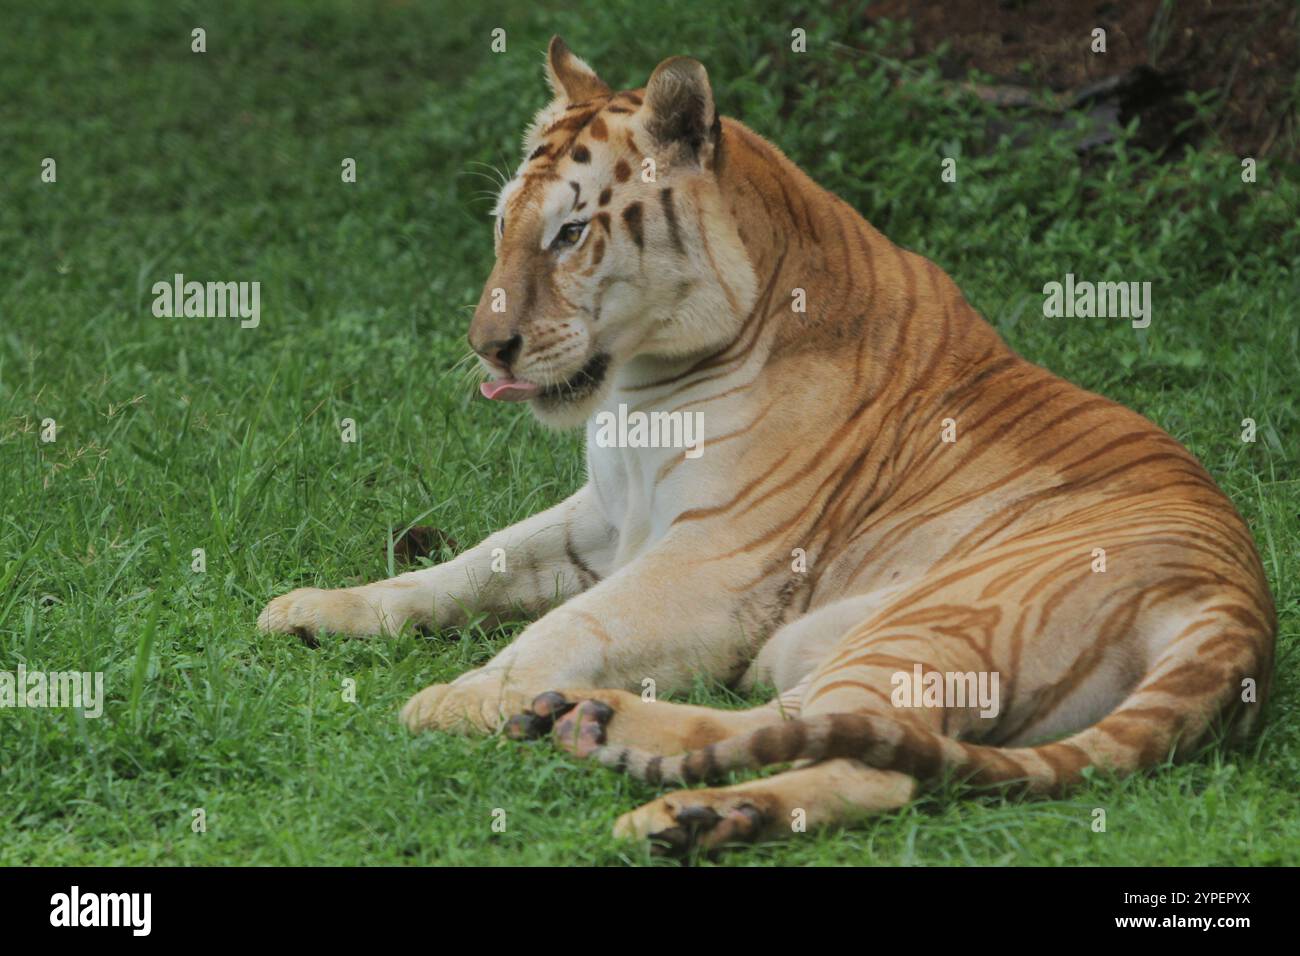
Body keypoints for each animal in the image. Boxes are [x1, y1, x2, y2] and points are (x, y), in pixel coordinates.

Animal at [258, 37, 1276, 854]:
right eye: (504, 223)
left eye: (572, 232)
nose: (487, 348)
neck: (639, 384)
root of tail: (1241, 612)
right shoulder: (605, 518)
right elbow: (470, 564)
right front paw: (320, 608)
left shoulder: (715, 560)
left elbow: (573, 624)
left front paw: (462, 694)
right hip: (829, 647)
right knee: (817, 726)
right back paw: (609, 738)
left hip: (937, 619)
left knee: (878, 764)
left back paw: (678, 801)